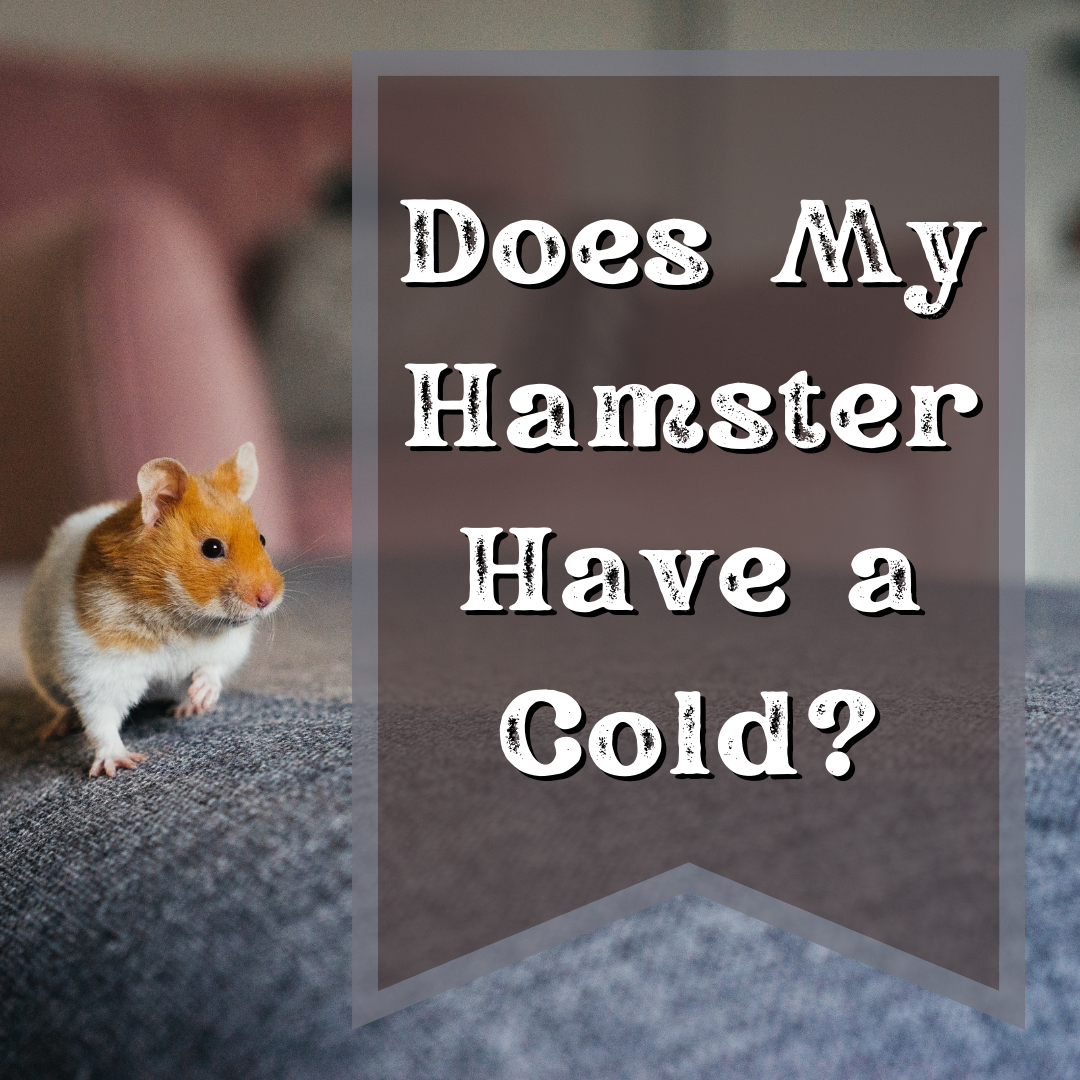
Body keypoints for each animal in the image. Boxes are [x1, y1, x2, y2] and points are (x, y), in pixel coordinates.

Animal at [21, 442, 284, 777]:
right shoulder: (98, 667)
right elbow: (101, 718)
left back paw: (184, 708)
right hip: (47, 679)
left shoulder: (227, 645)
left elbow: (213, 666)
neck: (180, 619)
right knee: (68, 709)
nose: (268, 598)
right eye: (212, 548)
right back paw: (52, 730)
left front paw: (201, 699)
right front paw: (118, 764)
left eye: (261, 539)